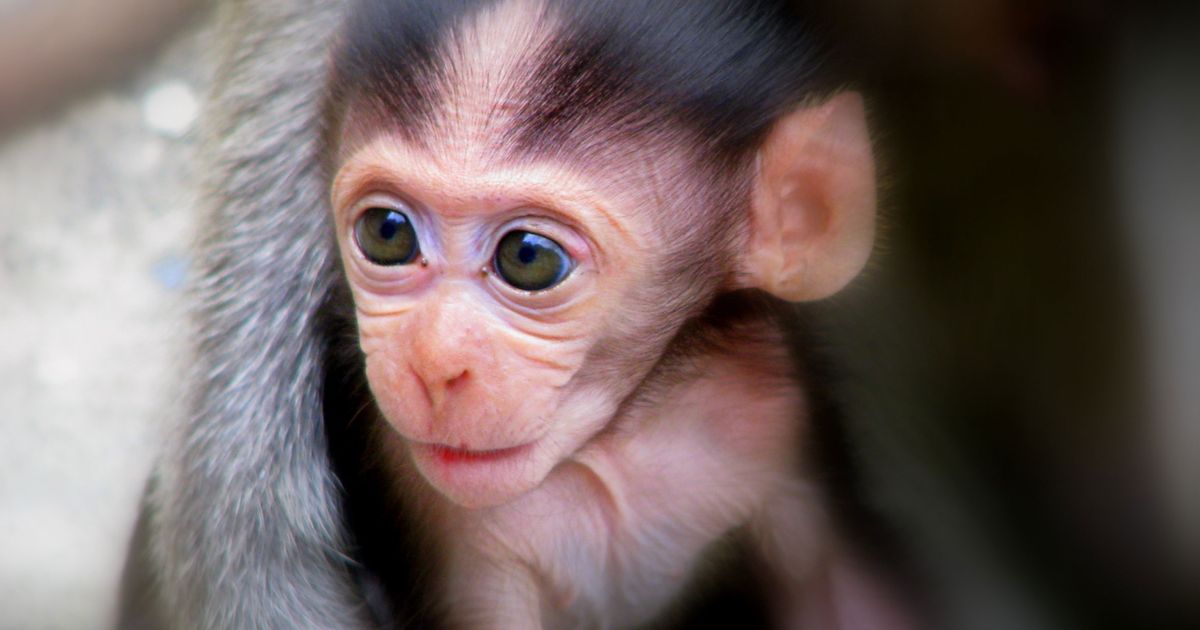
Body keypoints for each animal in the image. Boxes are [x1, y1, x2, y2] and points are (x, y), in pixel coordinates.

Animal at [118, 0, 915, 628]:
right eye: (387, 233)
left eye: (528, 257)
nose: (433, 364)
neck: (611, 447)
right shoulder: (439, 509)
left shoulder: (768, 417)